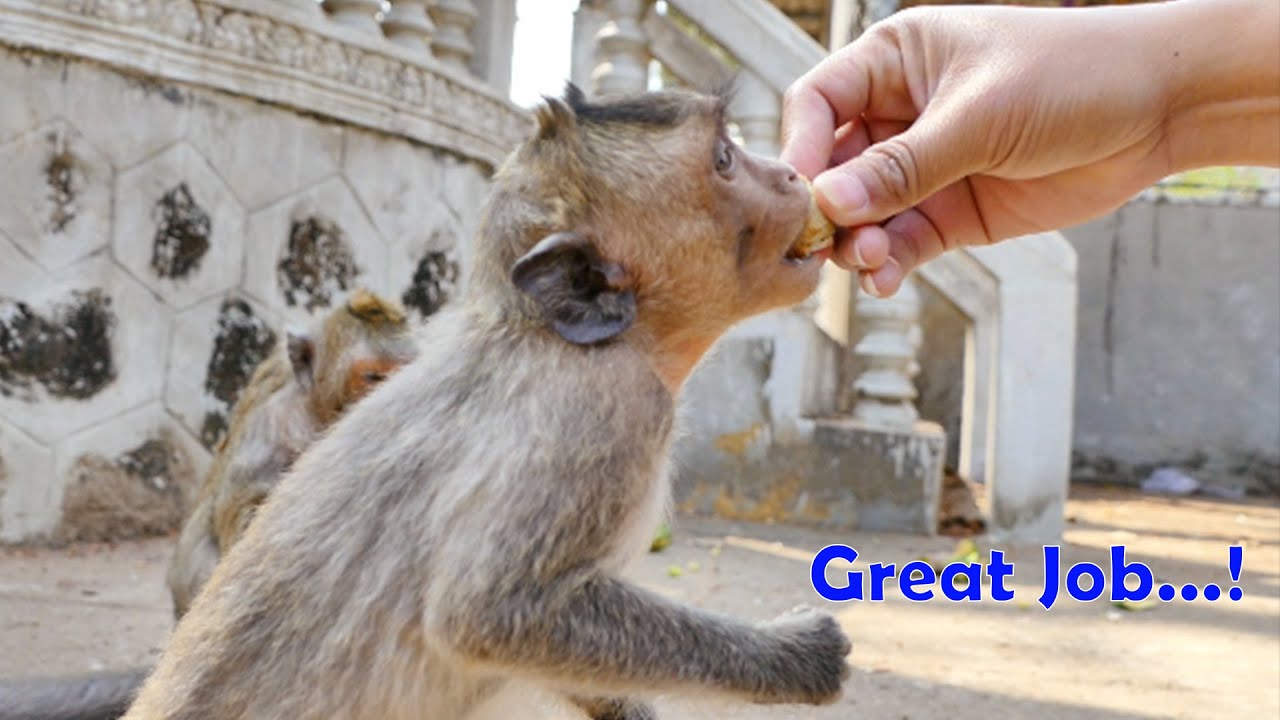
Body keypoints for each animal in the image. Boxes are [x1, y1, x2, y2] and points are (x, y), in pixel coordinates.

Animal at [127, 85, 852, 719]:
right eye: (725, 159)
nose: (790, 172)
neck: (536, 331)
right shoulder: (606, 410)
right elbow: (490, 614)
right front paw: (794, 657)